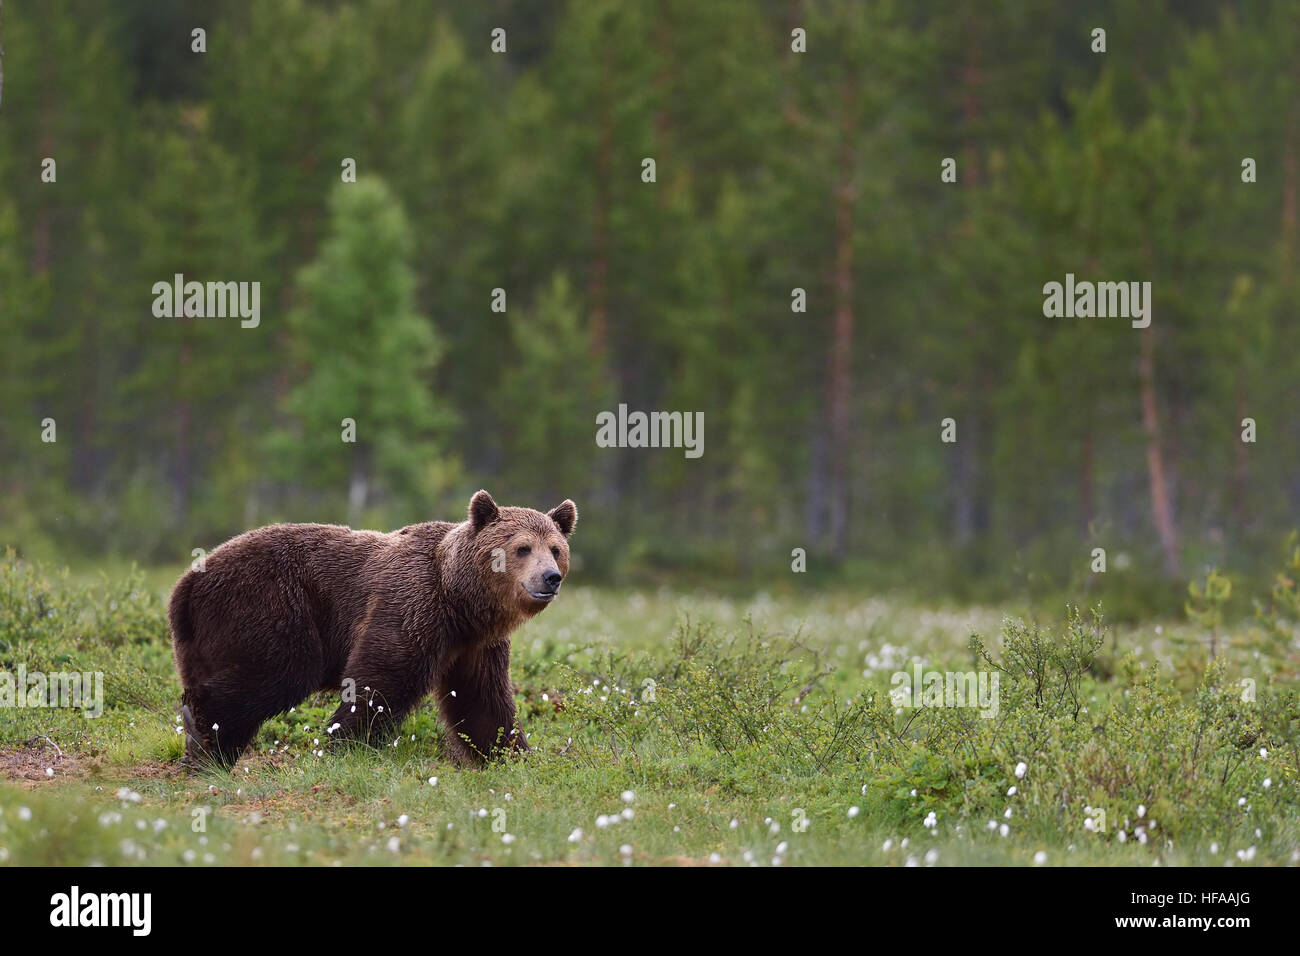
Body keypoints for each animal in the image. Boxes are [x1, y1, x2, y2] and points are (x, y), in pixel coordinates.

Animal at [168, 490, 576, 768]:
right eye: (523, 547)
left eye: (555, 549)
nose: (550, 577)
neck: (460, 600)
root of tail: (185, 584)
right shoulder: (413, 604)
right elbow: (382, 677)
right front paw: (346, 744)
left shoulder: (476, 645)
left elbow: (484, 701)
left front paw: (512, 755)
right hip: (269, 601)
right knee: (281, 669)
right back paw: (204, 733)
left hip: (204, 637)